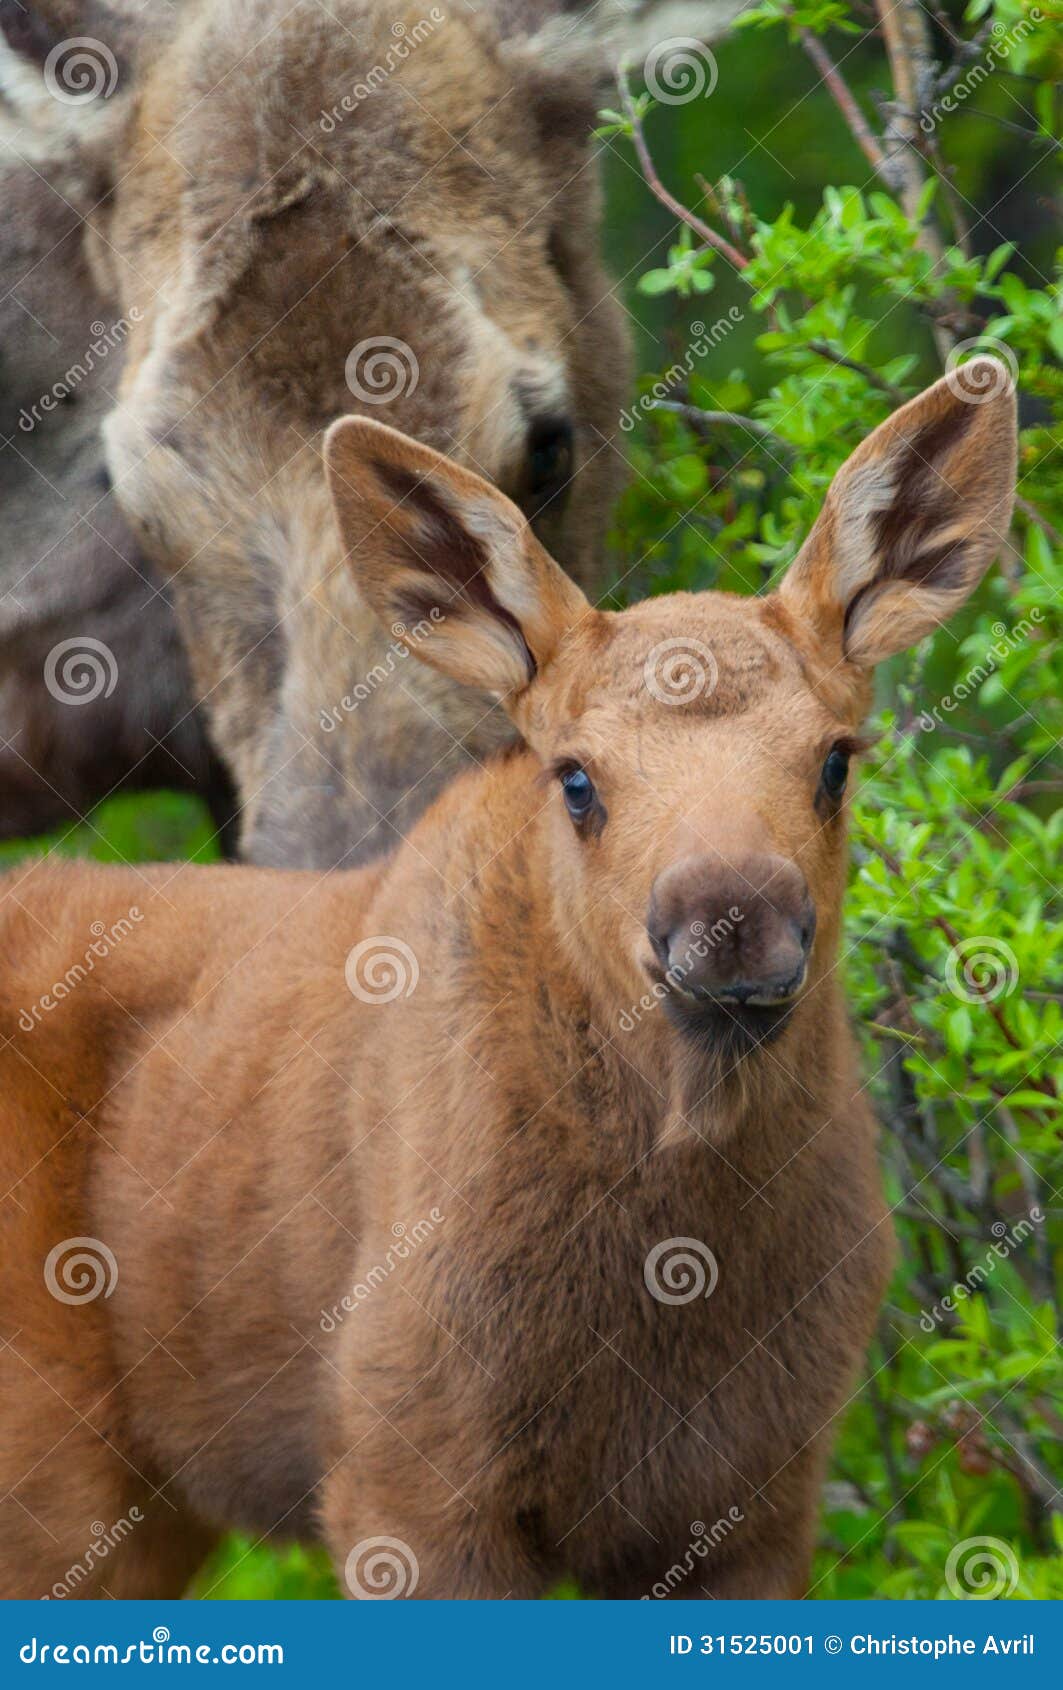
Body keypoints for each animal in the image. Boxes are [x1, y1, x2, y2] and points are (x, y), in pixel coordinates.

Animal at [0, 359, 1015, 1599]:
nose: (731, 919)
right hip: (52, 1467)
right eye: (574, 778)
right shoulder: (403, 1472)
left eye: (834, 758)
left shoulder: (758, 1499)